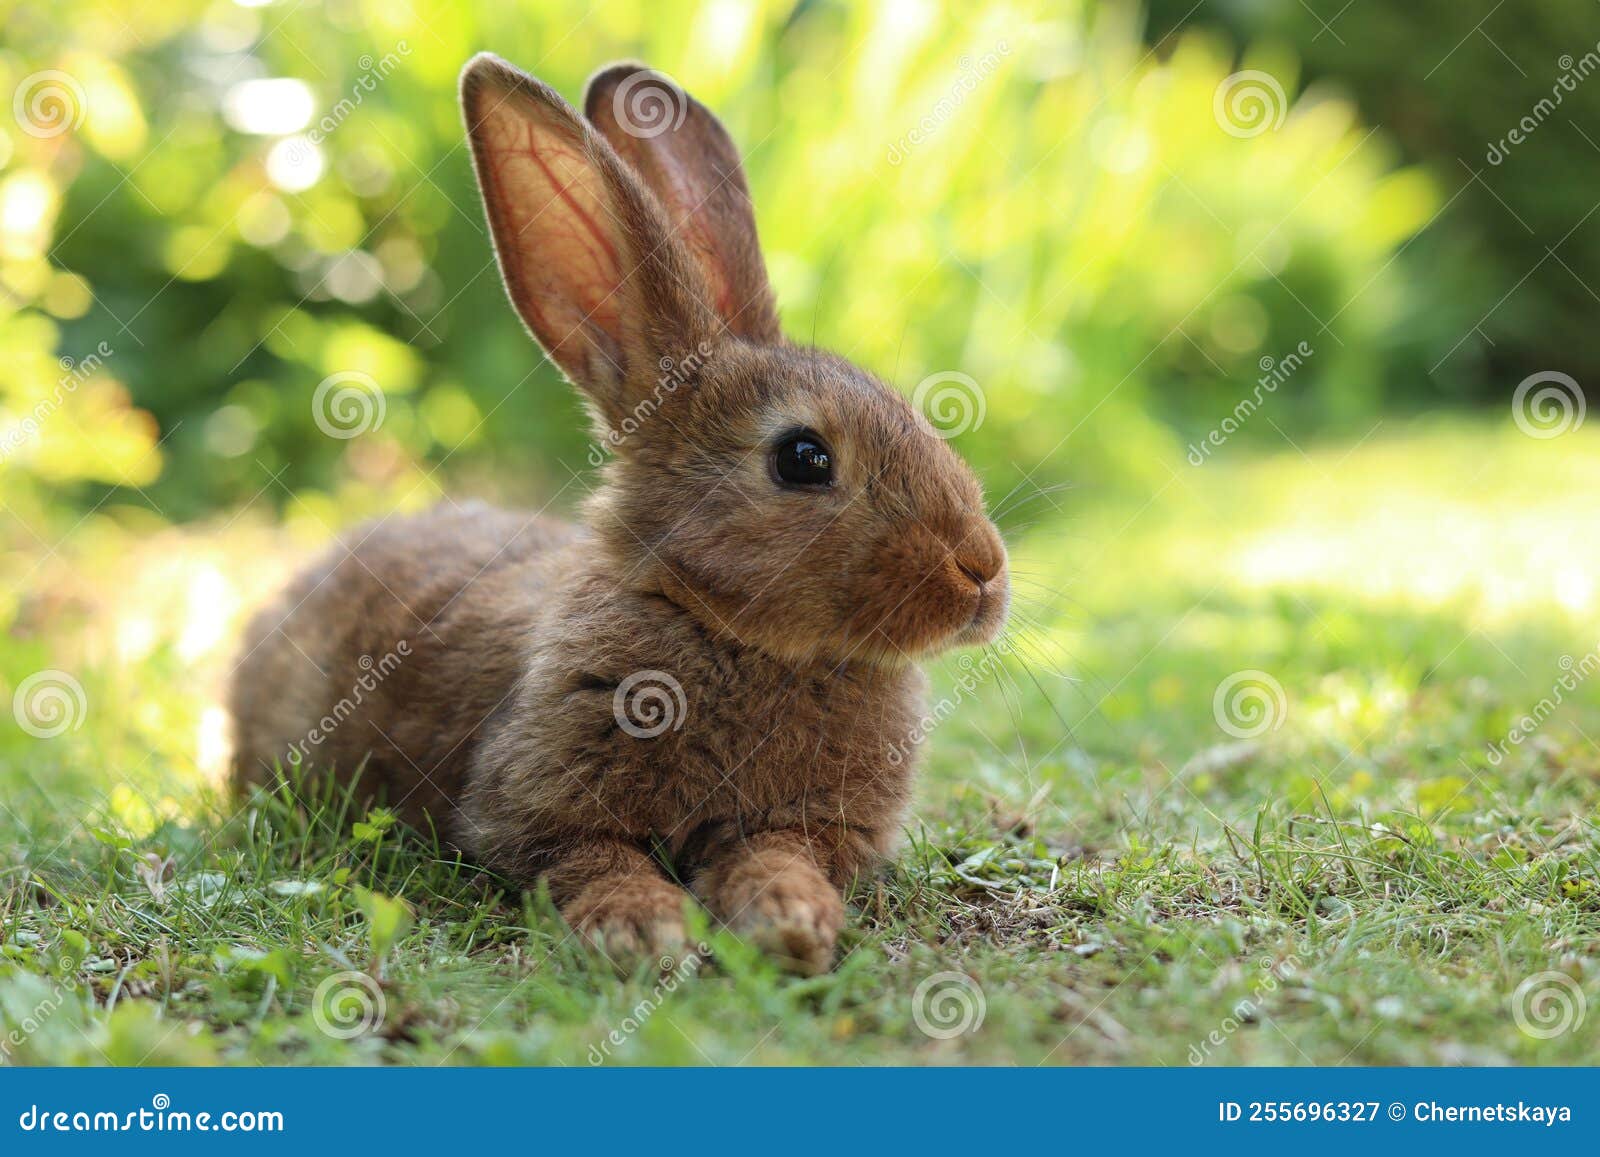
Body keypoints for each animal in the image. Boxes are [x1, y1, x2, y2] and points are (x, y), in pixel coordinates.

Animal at [228, 53, 1009, 974]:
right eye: (803, 458)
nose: (983, 571)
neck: (722, 626)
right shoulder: (532, 802)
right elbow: (590, 856)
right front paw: (641, 929)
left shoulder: (817, 824)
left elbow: (779, 853)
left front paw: (791, 918)